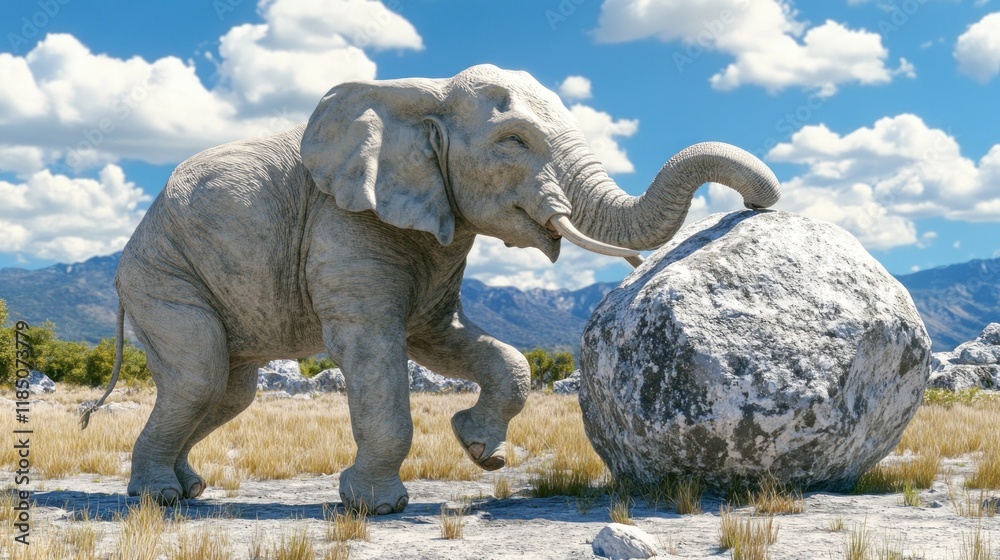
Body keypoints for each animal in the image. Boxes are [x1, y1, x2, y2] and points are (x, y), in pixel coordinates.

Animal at [81, 64, 780, 514]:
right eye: (512, 142)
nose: (756, 203)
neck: (423, 96)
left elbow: (449, 339)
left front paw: (482, 450)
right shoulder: (344, 223)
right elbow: (372, 348)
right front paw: (377, 507)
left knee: (228, 391)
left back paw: (189, 488)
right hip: (161, 275)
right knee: (200, 375)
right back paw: (158, 499)